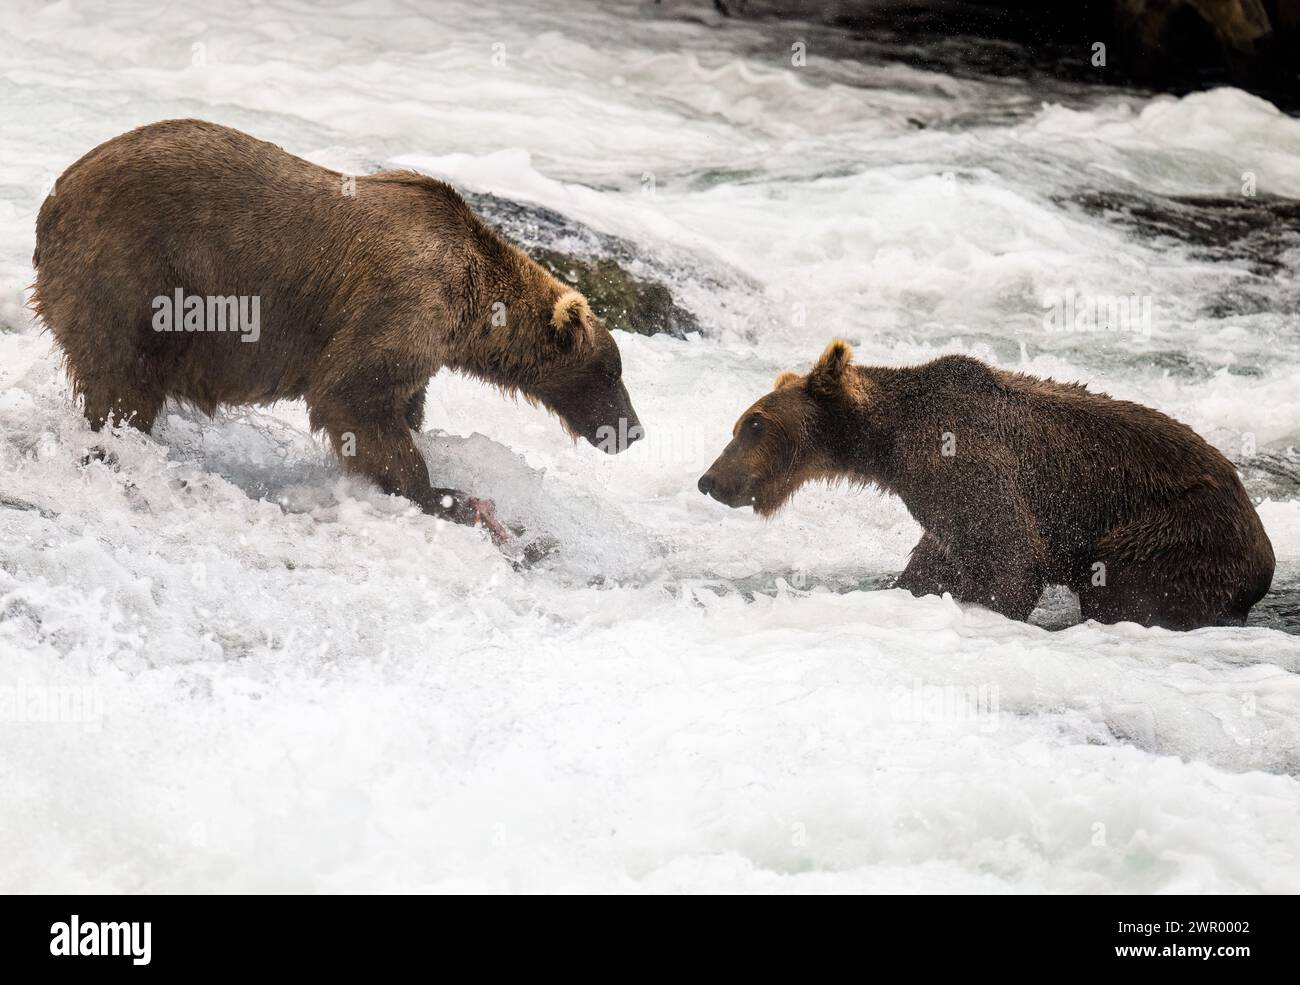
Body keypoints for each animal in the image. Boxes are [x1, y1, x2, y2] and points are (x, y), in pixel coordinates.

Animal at [30, 119, 642, 557]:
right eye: (611, 371)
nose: (632, 432)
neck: (469, 309)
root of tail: (56, 194)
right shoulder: (402, 303)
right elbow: (351, 397)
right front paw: (444, 496)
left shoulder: (424, 348)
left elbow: (400, 403)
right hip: (132, 272)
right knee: (122, 378)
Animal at [697, 341, 1275, 630]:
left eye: (753, 423)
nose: (708, 480)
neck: (889, 443)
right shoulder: (939, 505)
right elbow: (935, 564)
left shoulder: (971, 467)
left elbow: (1012, 554)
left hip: (1174, 534)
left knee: (1126, 589)